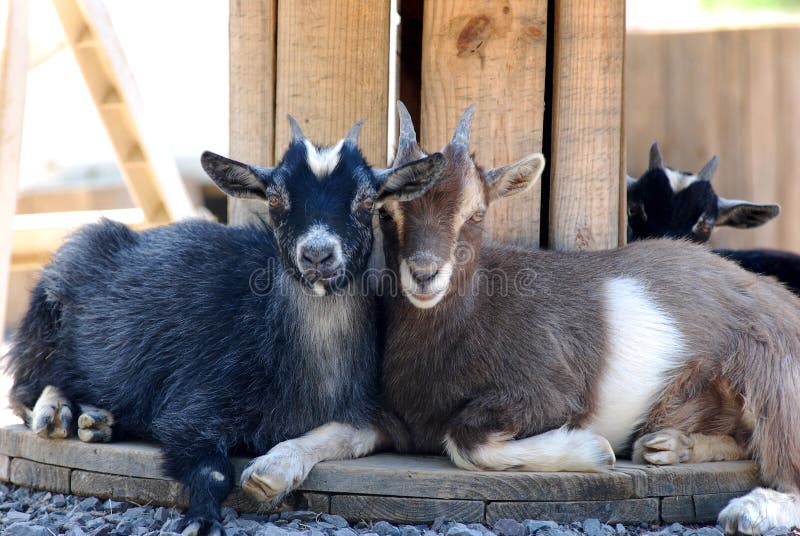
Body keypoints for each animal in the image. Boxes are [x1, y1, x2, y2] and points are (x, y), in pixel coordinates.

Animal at [5, 116, 444, 536]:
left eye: (367, 200)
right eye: (275, 198)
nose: (318, 254)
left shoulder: (369, 407)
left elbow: (352, 435)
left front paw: (274, 469)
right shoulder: (195, 400)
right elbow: (213, 469)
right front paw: (201, 520)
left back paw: (97, 420)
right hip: (45, 314)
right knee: (26, 385)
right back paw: (58, 413)